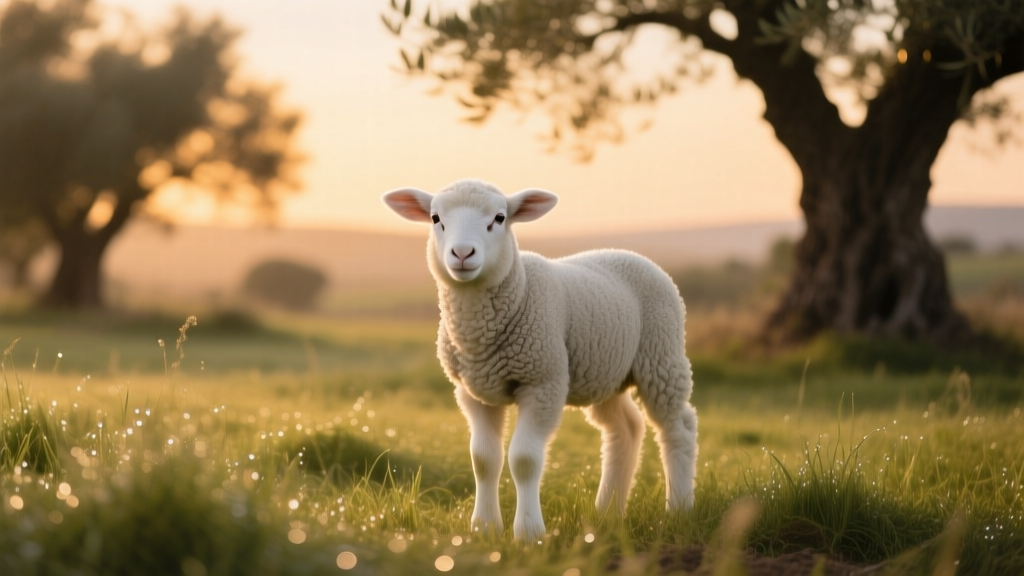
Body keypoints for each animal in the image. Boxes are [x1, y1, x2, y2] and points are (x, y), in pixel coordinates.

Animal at [382, 178, 698, 541]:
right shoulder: (473, 391)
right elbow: (483, 460)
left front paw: (529, 532)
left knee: (678, 428)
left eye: (500, 218)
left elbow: (524, 459)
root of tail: (629, 254)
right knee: (625, 428)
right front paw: (485, 528)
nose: (462, 254)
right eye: (436, 218)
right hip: (604, 373)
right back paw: (606, 513)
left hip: (662, 357)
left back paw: (678, 509)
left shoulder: (542, 382)